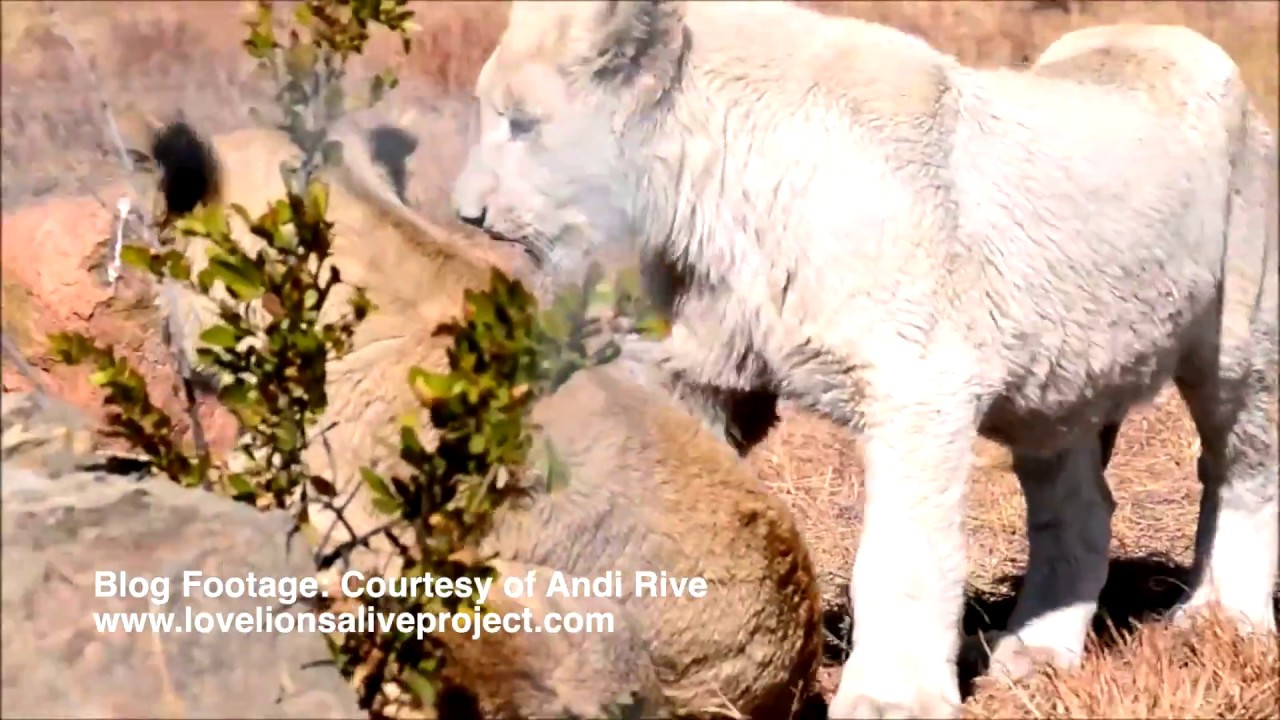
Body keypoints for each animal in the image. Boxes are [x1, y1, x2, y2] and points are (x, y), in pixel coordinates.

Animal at [449, 3, 1278, 718]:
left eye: (520, 123)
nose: (469, 212)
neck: (706, 205)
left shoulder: (920, 382)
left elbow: (901, 556)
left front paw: (891, 699)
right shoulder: (701, 370)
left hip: (1240, 336)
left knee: (1241, 467)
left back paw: (1217, 619)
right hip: (1061, 377)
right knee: (1079, 505)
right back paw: (1032, 652)